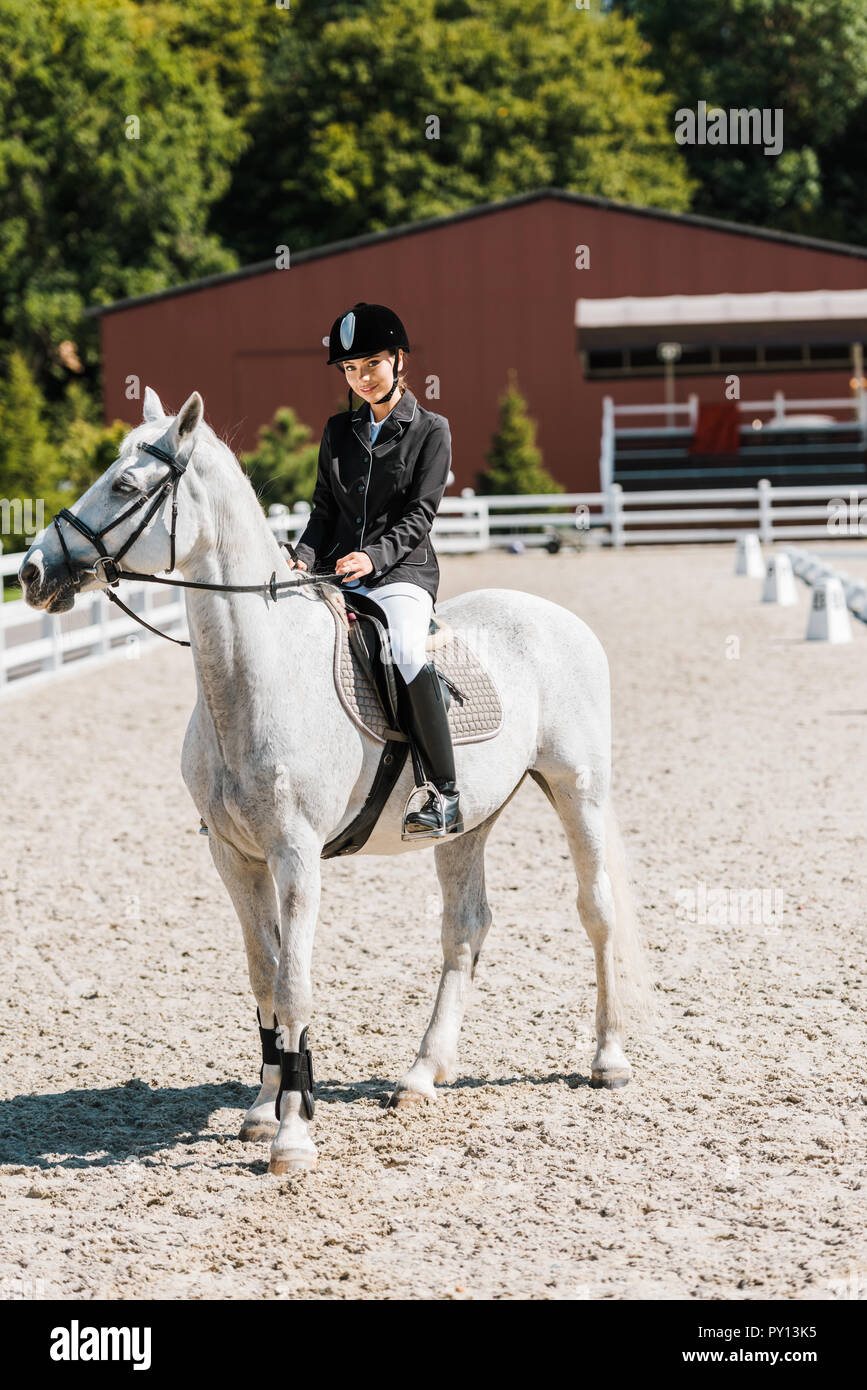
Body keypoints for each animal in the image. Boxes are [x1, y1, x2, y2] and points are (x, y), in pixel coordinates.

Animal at [19, 388, 653, 1175]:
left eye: (126, 486)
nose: (32, 572)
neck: (255, 676)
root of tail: (557, 617)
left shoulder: (296, 855)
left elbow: (294, 984)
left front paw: (293, 1137)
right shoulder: (233, 856)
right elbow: (263, 977)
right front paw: (264, 1109)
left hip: (577, 790)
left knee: (597, 912)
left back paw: (607, 1060)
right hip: (467, 823)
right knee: (464, 928)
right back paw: (421, 1075)